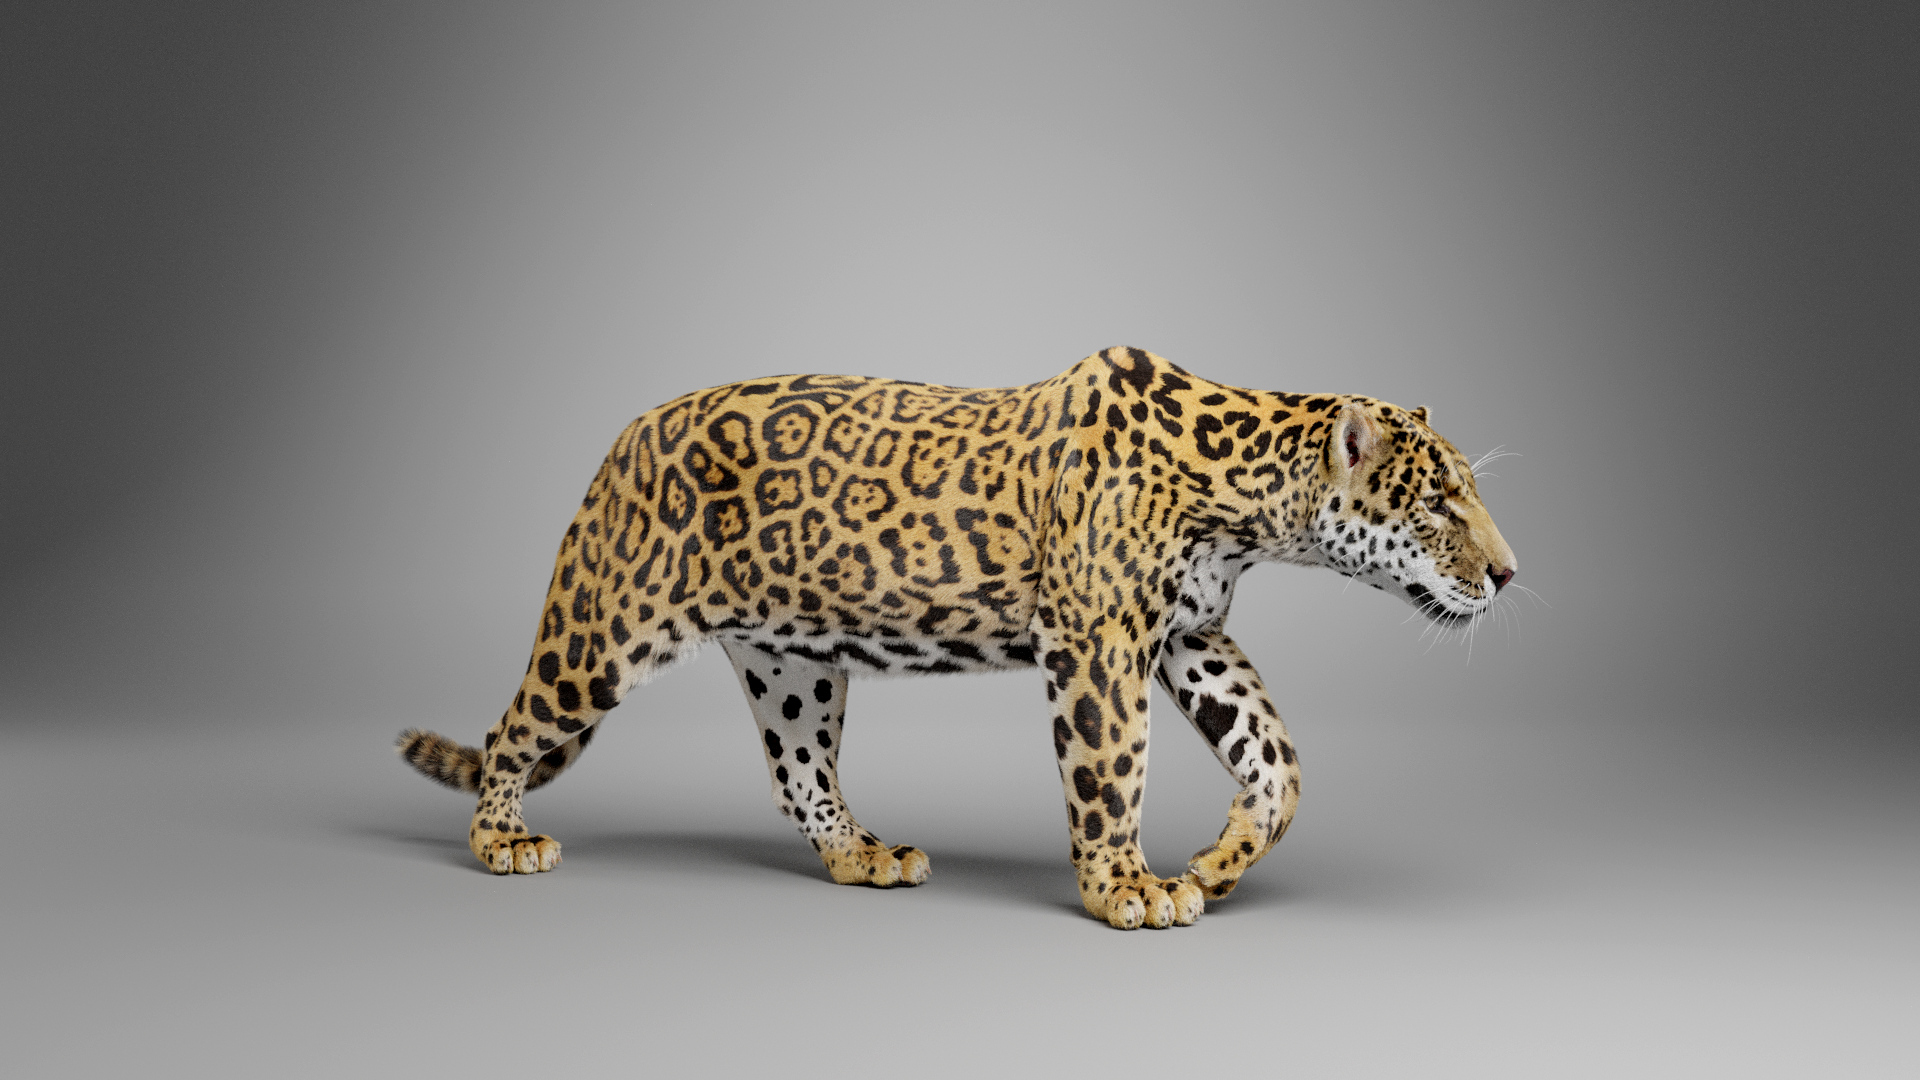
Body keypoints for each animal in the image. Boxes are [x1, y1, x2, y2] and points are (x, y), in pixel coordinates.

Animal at [396, 347, 1518, 929]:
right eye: (1442, 505)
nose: (1508, 575)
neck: (1246, 500)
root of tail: (625, 436)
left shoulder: (1188, 636)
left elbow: (1277, 758)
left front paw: (1220, 860)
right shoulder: (1099, 639)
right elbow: (1113, 769)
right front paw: (1126, 889)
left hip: (792, 660)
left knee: (799, 771)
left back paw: (865, 857)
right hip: (604, 631)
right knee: (511, 730)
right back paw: (503, 842)